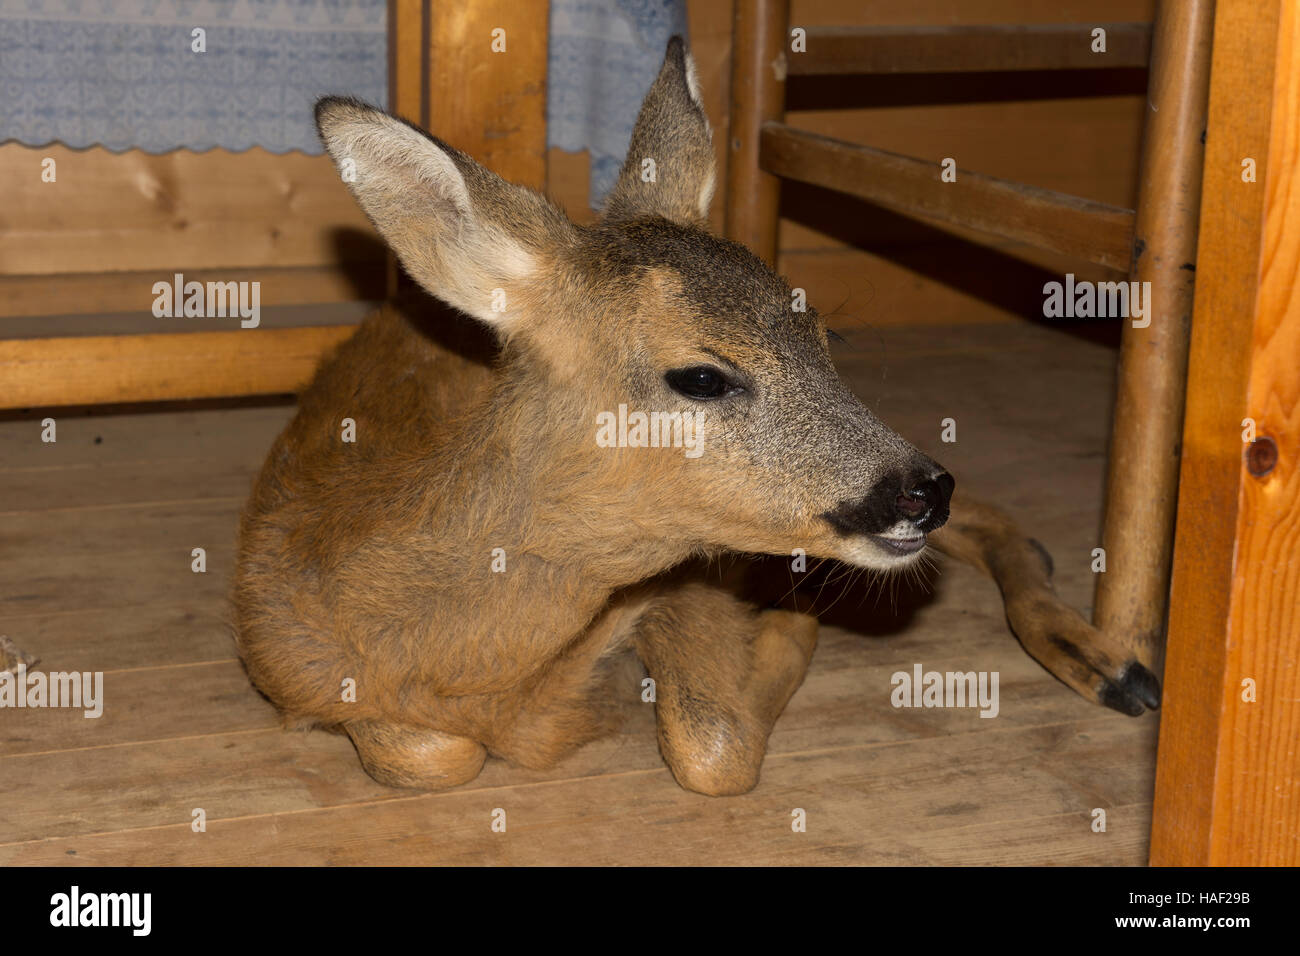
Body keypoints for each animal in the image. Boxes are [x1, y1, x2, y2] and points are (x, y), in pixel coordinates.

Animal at [232, 37, 1160, 796]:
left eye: (823, 337)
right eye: (702, 377)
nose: (919, 489)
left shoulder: (687, 580)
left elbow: (712, 747)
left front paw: (789, 627)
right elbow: (429, 754)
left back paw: (1110, 661)